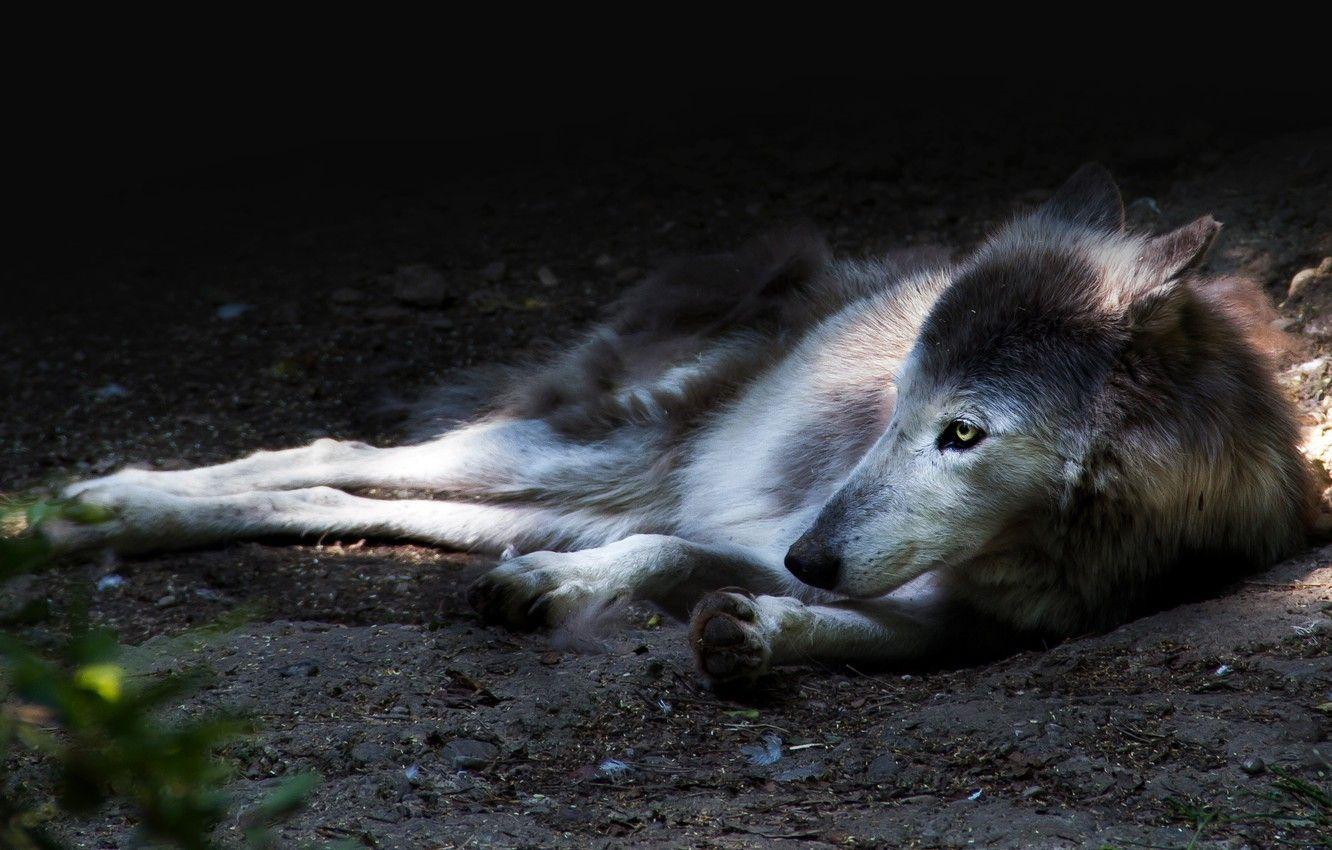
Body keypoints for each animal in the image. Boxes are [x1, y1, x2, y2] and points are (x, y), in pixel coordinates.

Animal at [42, 164, 1312, 683]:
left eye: (963, 433)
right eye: (895, 411)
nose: (811, 555)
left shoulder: (970, 627)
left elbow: (831, 623)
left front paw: (760, 634)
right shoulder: (761, 531)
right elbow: (656, 557)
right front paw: (565, 597)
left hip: (564, 490)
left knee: (348, 498)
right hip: (587, 454)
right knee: (331, 454)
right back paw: (94, 505)